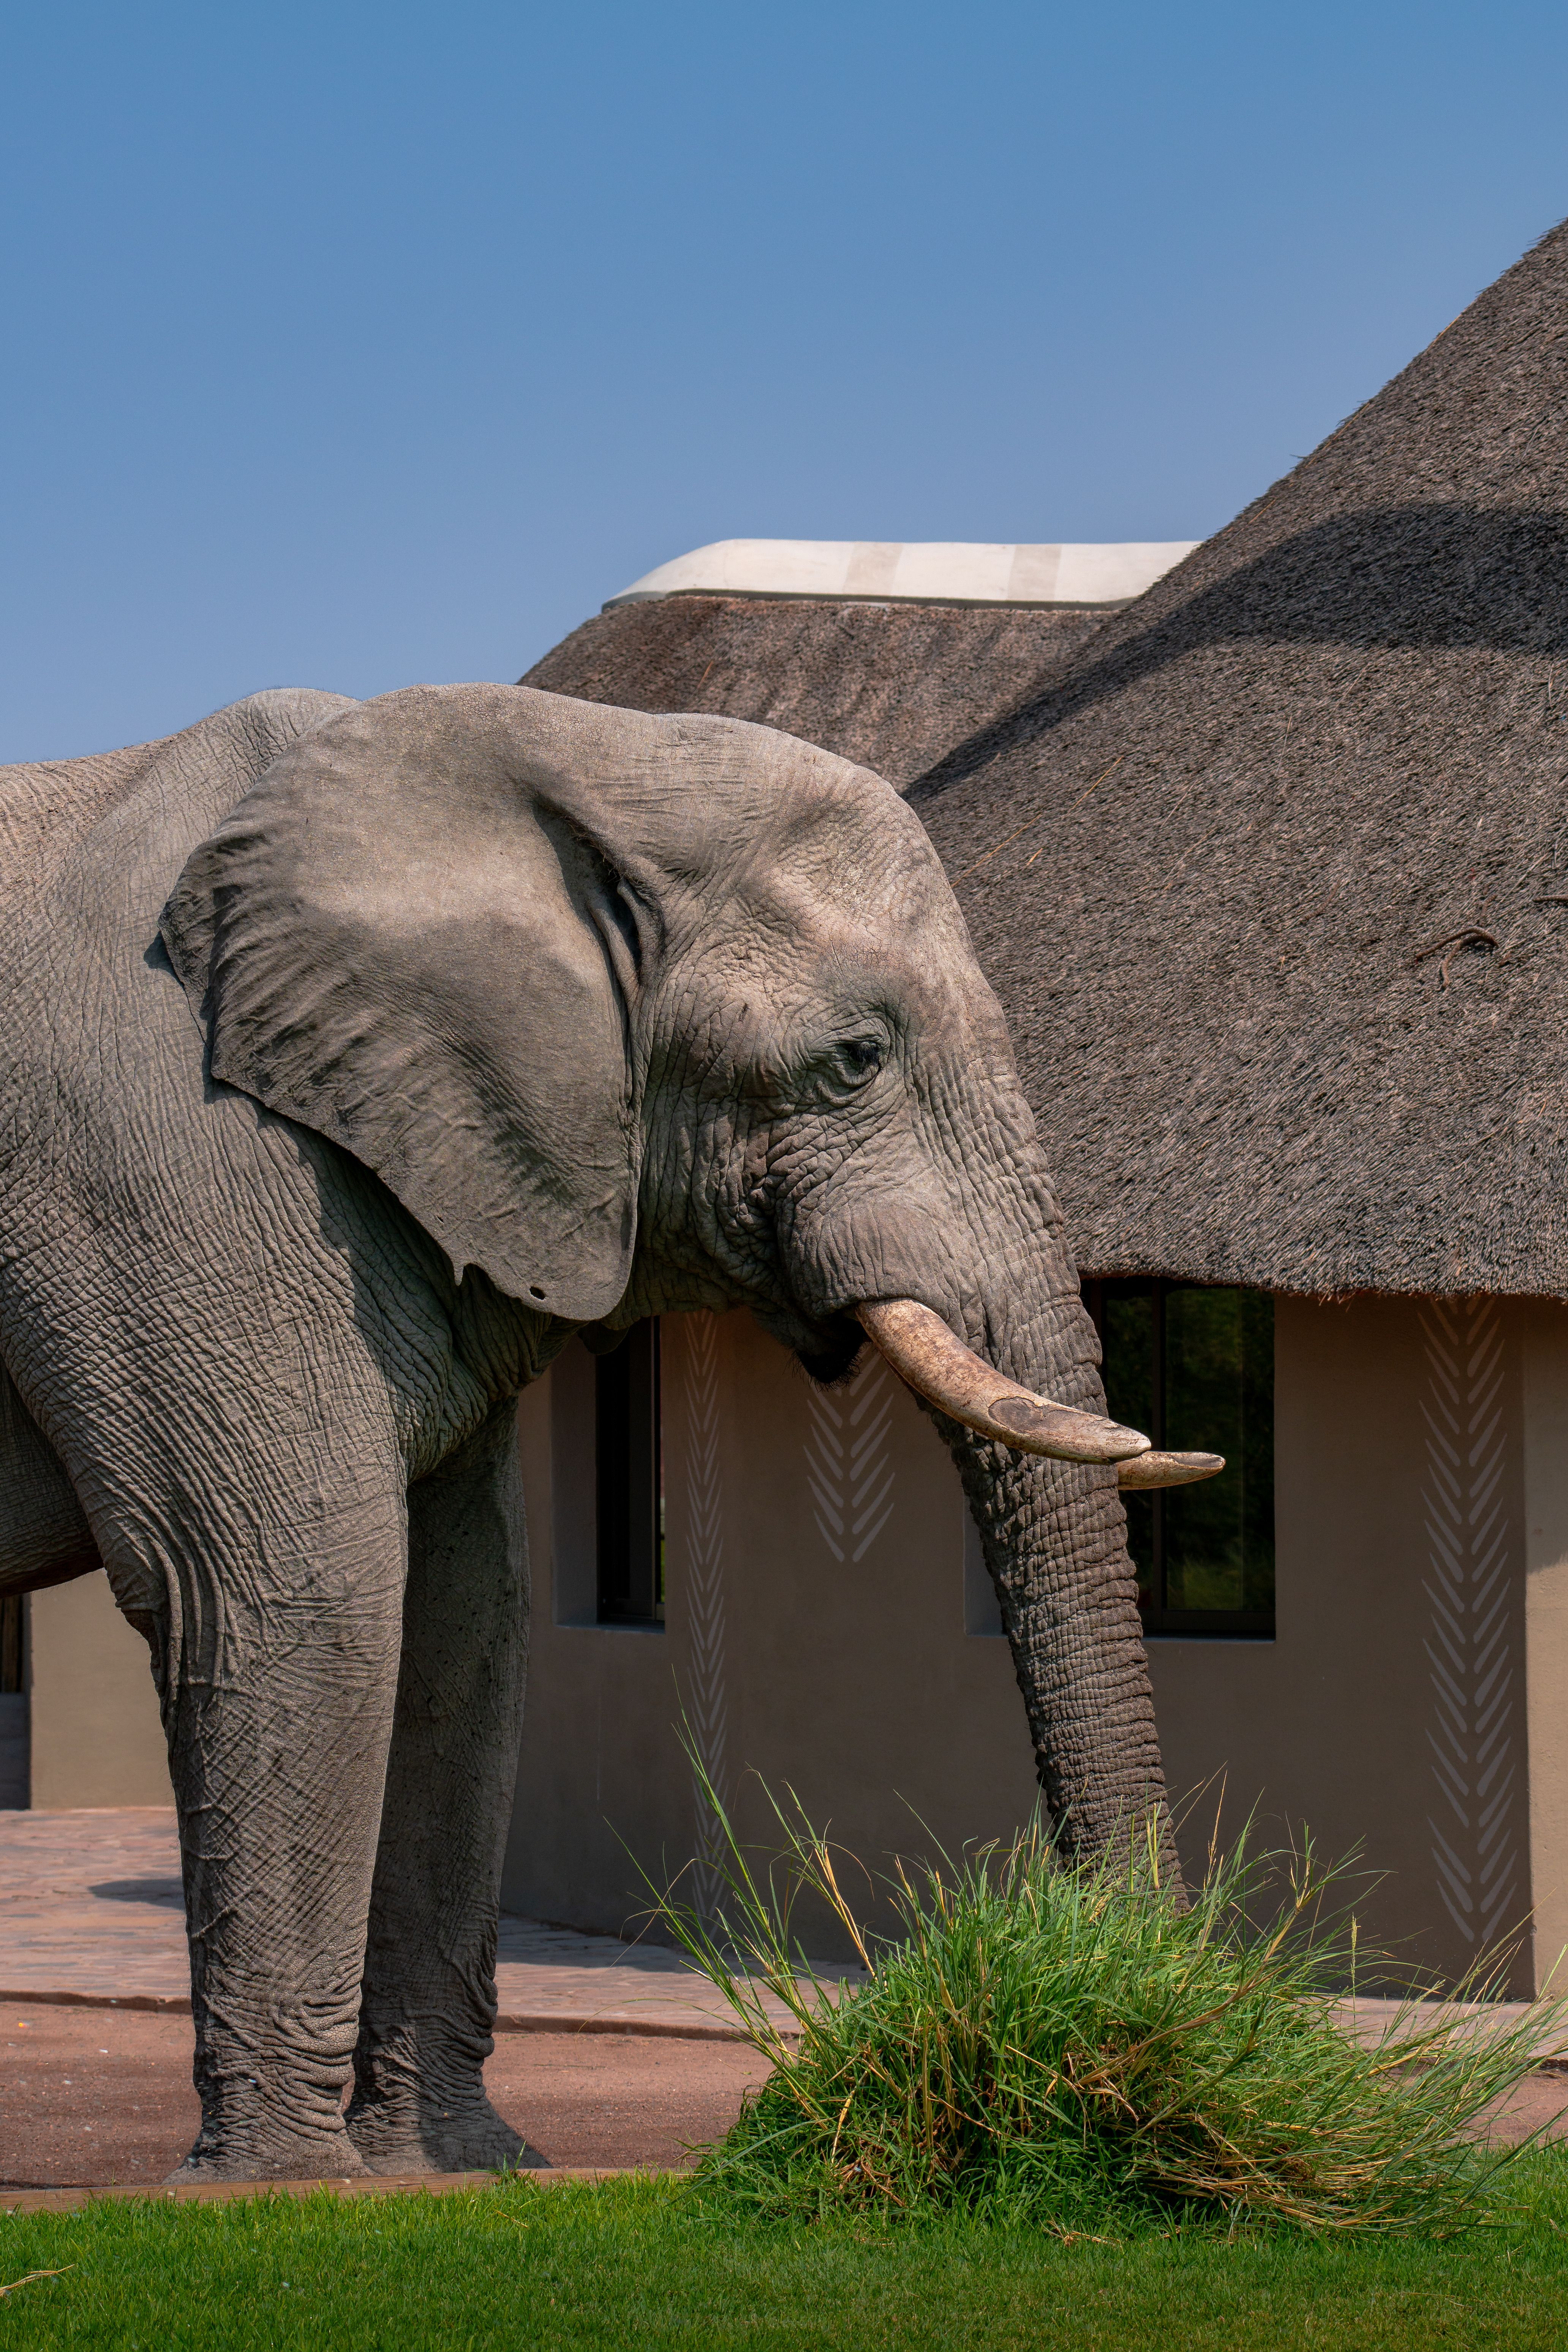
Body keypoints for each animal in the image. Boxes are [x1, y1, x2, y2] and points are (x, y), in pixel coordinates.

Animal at [0, 682, 1216, 2182]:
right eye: (852, 1060)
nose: (1121, 2034)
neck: (571, 755)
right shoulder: (166, 1169)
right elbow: (295, 1592)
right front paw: (284, 2192)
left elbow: (467, 1619)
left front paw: (457, 2173)